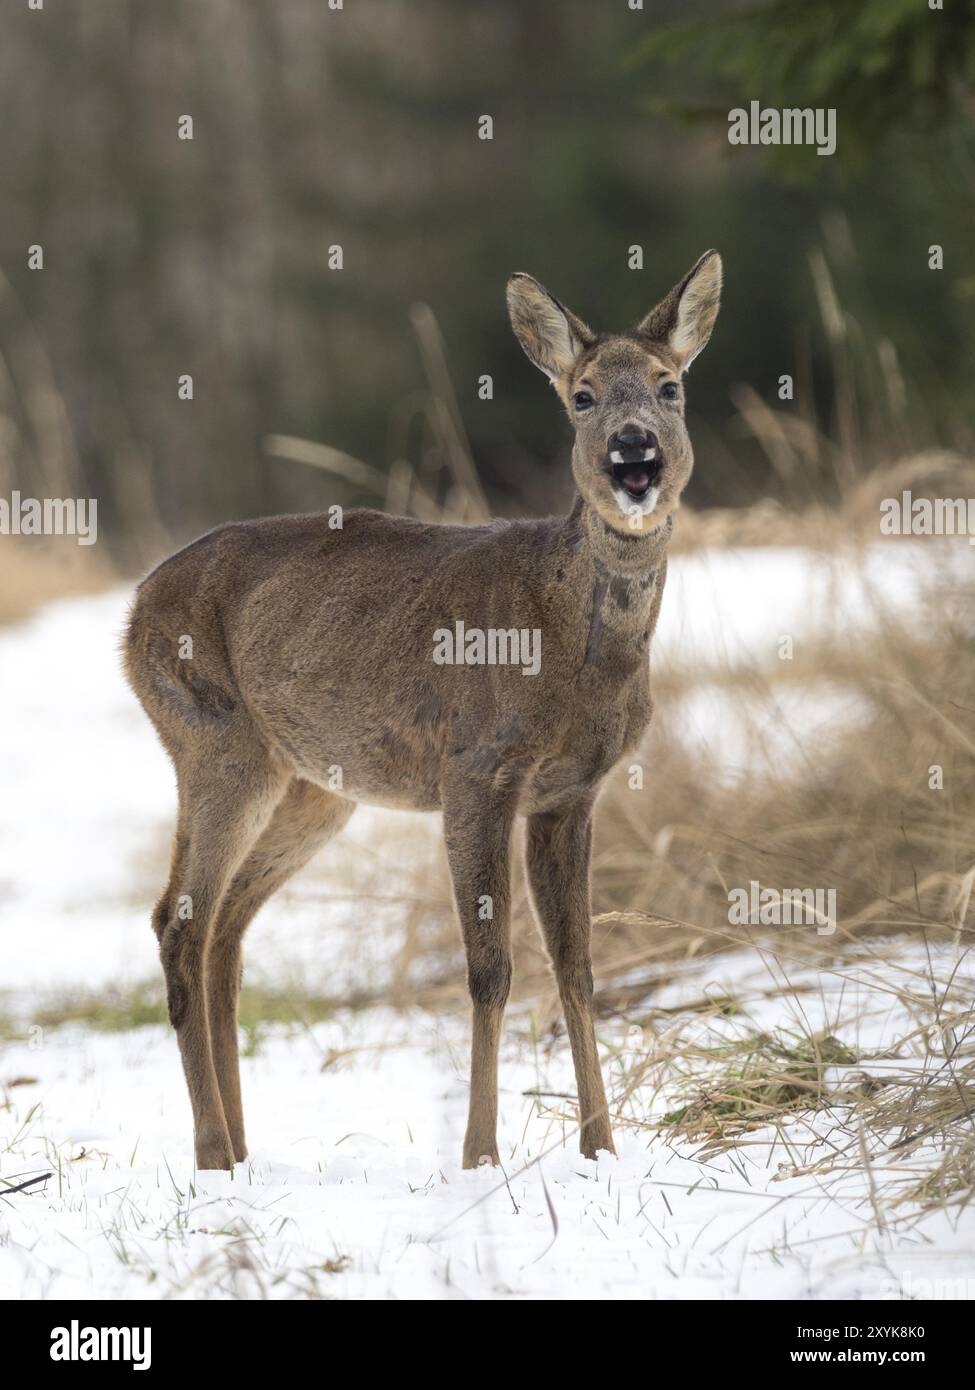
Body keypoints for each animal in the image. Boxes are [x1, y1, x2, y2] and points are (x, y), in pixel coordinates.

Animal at [124, 250, 722, 1171]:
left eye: (669, 386)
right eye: (582, 395)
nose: (635, 448)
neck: (566, 641)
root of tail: (132, 611)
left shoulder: (569, 794)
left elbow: (576, 964)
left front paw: (601, 1149)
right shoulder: (476, 770)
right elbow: (490, 968)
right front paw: (479, 1155)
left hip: (313, 786)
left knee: (226, 926)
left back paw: (243, 1147)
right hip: (211, 738)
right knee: (176, 921)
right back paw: (214, 1153)